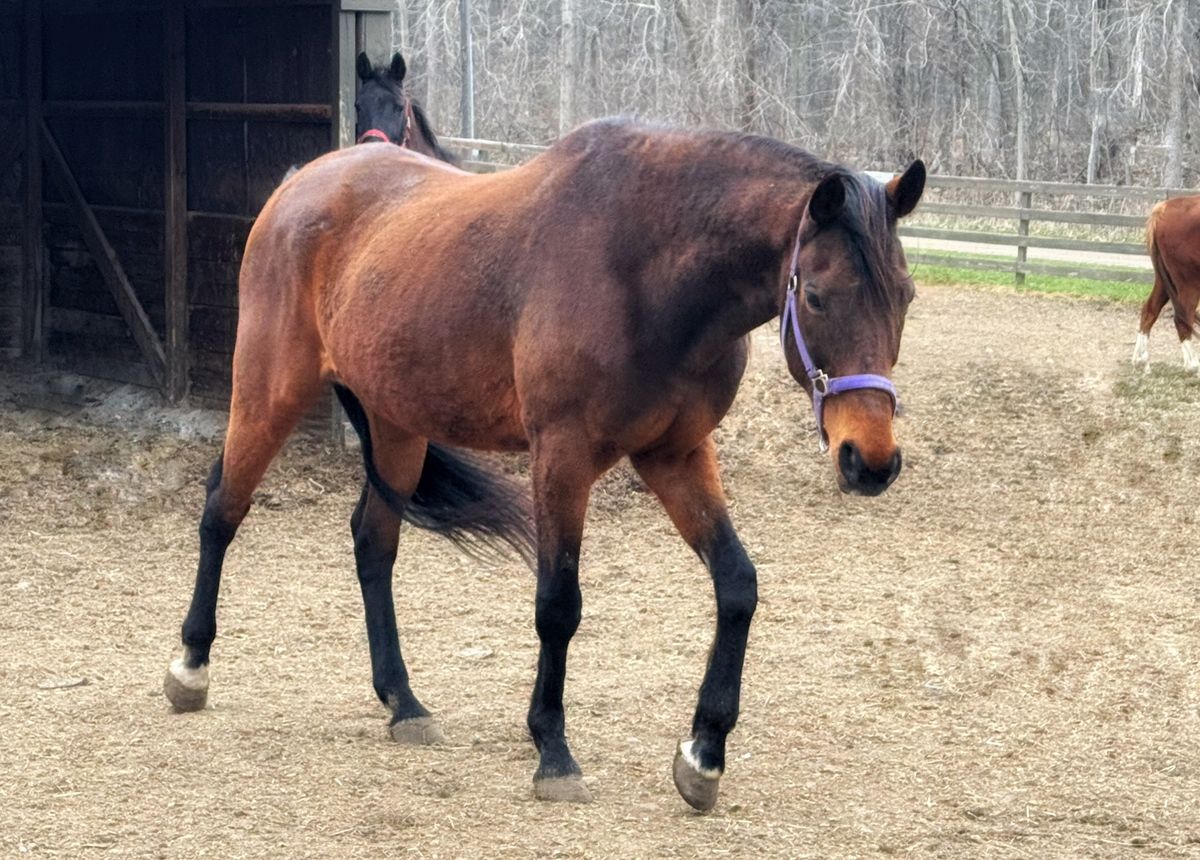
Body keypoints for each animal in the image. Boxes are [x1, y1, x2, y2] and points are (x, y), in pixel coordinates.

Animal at [162, 118, 925, 812]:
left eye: (906, 297)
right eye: (817, 294)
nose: (871, 460)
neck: (646, 272)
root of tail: (300, 183)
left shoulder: (675, 454)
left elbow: (737, 585)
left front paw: (703, 755)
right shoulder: (563, 455)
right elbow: (559, 604)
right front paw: (553, 752)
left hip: (396, 422)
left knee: (373, 542)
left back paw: (403, 701)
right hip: (270, 389)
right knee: (223, 510)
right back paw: (191, 668)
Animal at [1133, 195, 1200, 373]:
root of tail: (1163, 208)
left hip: (1163, 280)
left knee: (1149, 310)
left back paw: (1141, 360)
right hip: (1188, 281)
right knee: (1182, 320)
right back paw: (1193, 365)